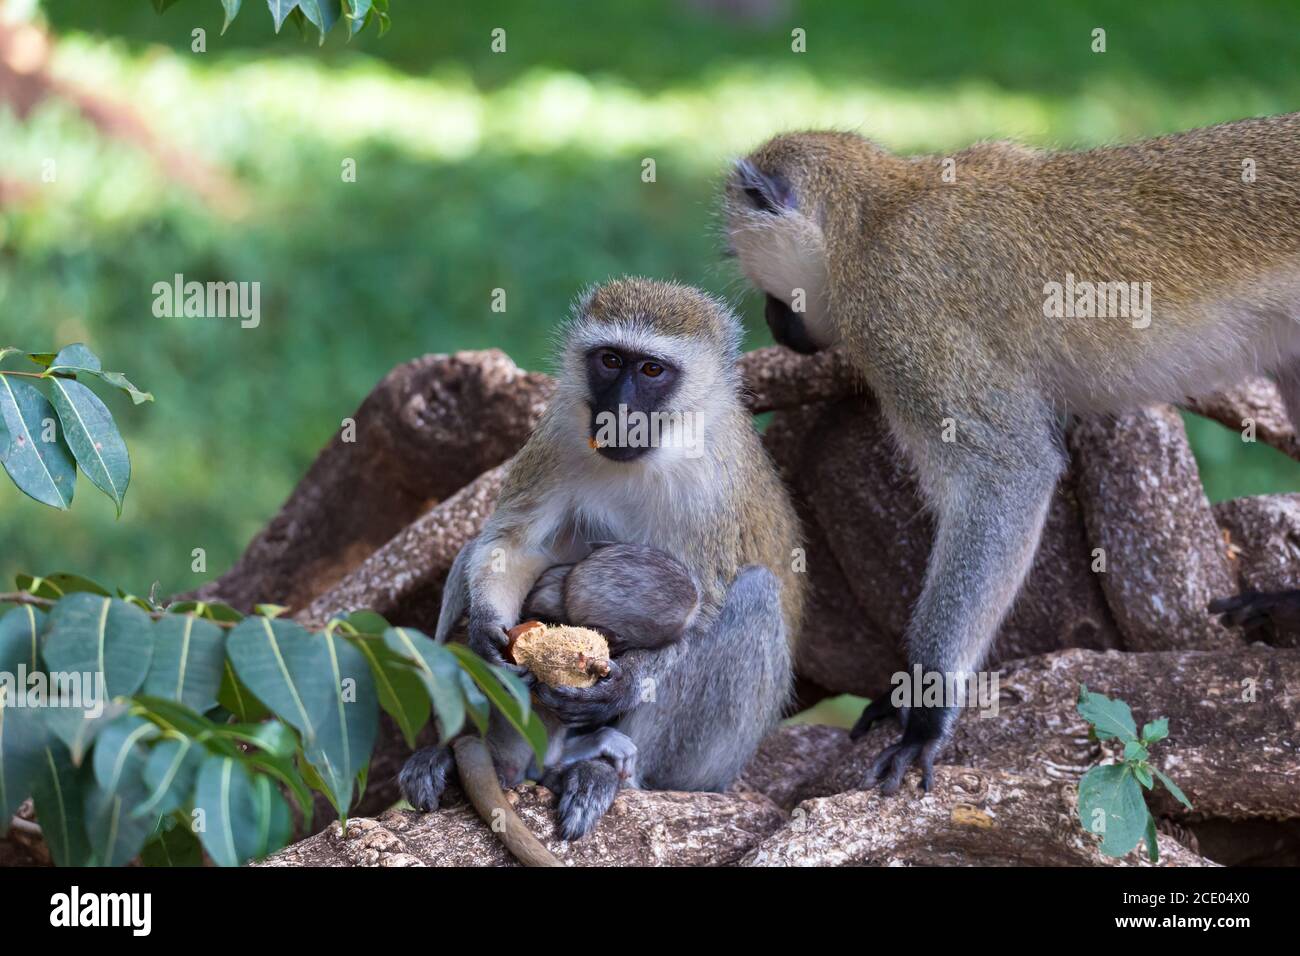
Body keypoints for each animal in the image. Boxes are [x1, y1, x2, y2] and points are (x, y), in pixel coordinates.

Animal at [399, 277, 804, 842]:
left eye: (652, 370)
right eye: (610, 360)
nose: (621, 410)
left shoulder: (713, 489)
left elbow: (701, 611)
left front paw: (623, 686)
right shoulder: (556, 435)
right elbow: (513, 542)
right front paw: (486, 632)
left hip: (709, 770)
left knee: (753, 597)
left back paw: (601, 770)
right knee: (469, 551)